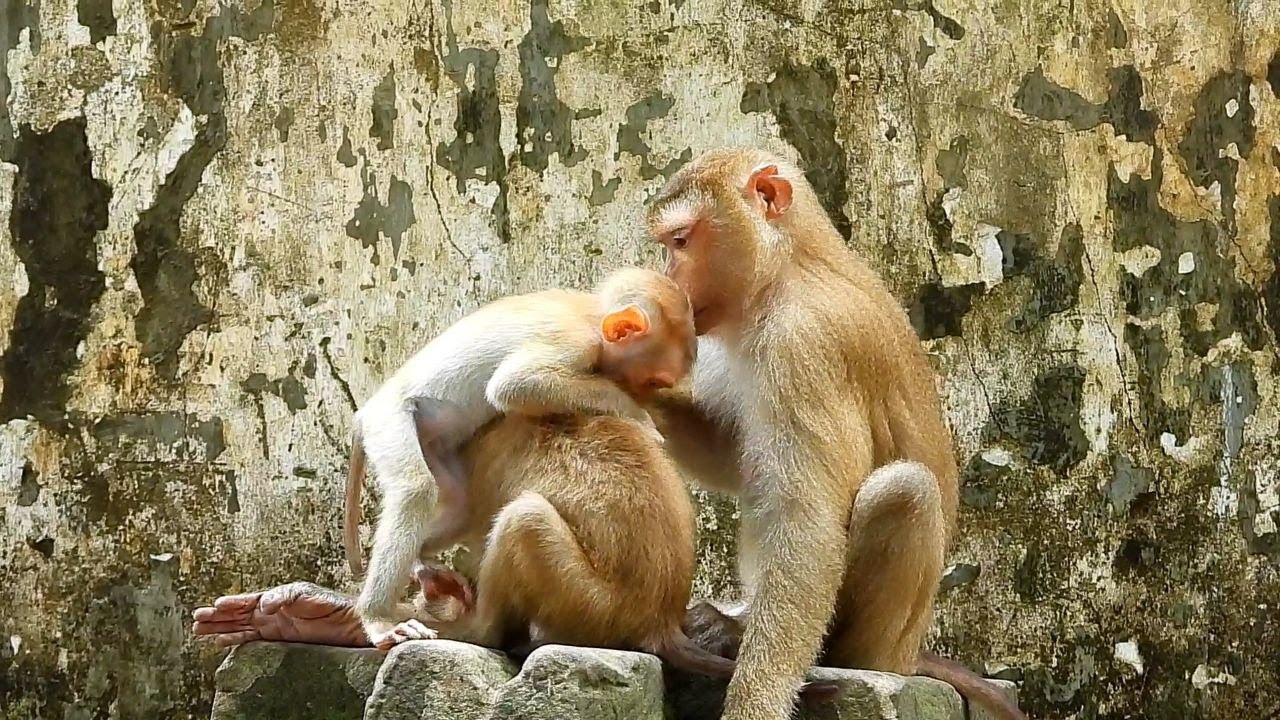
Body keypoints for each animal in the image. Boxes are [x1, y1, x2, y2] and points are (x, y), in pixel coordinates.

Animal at [344, 267, 698, 649]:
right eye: (654, 381)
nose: (646, 397)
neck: (592, 314)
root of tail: (364, 414)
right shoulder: (574, 342)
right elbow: (516, 384)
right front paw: (639, 416)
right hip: (389, 419)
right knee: (420, 489)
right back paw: (379, 618)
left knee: (459, 503)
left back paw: (421, 565)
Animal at [641, 147, 1026, 720]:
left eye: (681, 241)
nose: (669, 278)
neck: (790, 269)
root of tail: (910, 654)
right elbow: (735, 459)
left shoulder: (803, 345)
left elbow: (808, 527)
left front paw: (756, 702)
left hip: (888, 648)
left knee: (904, 490)